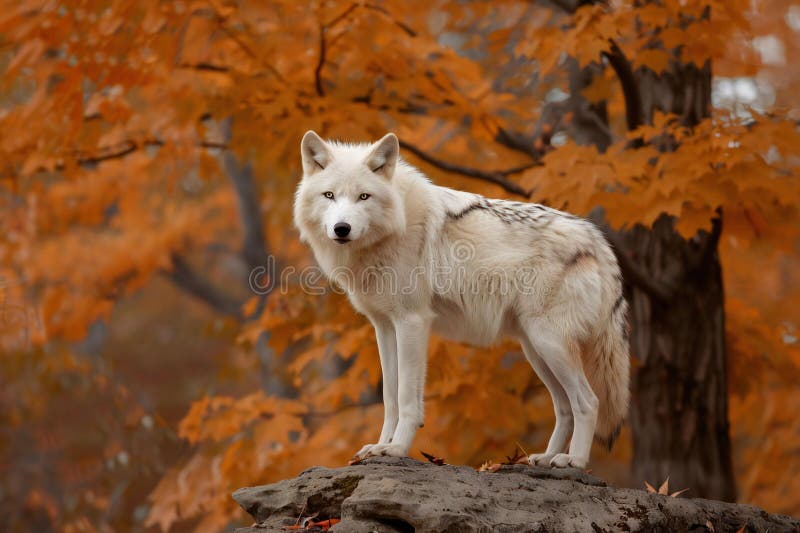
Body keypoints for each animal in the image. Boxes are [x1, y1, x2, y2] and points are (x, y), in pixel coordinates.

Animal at [293, 131, 630, 468]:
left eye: (363, 197)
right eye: (329, 195)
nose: (342, 229)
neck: (397, 222)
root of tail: (596, 237)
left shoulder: (412, 322)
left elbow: (406, 398)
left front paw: (397, 448)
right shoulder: (385, 327)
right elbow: (390, 397)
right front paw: (379, 446)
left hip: (549, 343)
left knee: (588, 401)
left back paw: (573, 461)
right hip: (536, 350)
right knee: (564, 407)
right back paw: (546, 457)